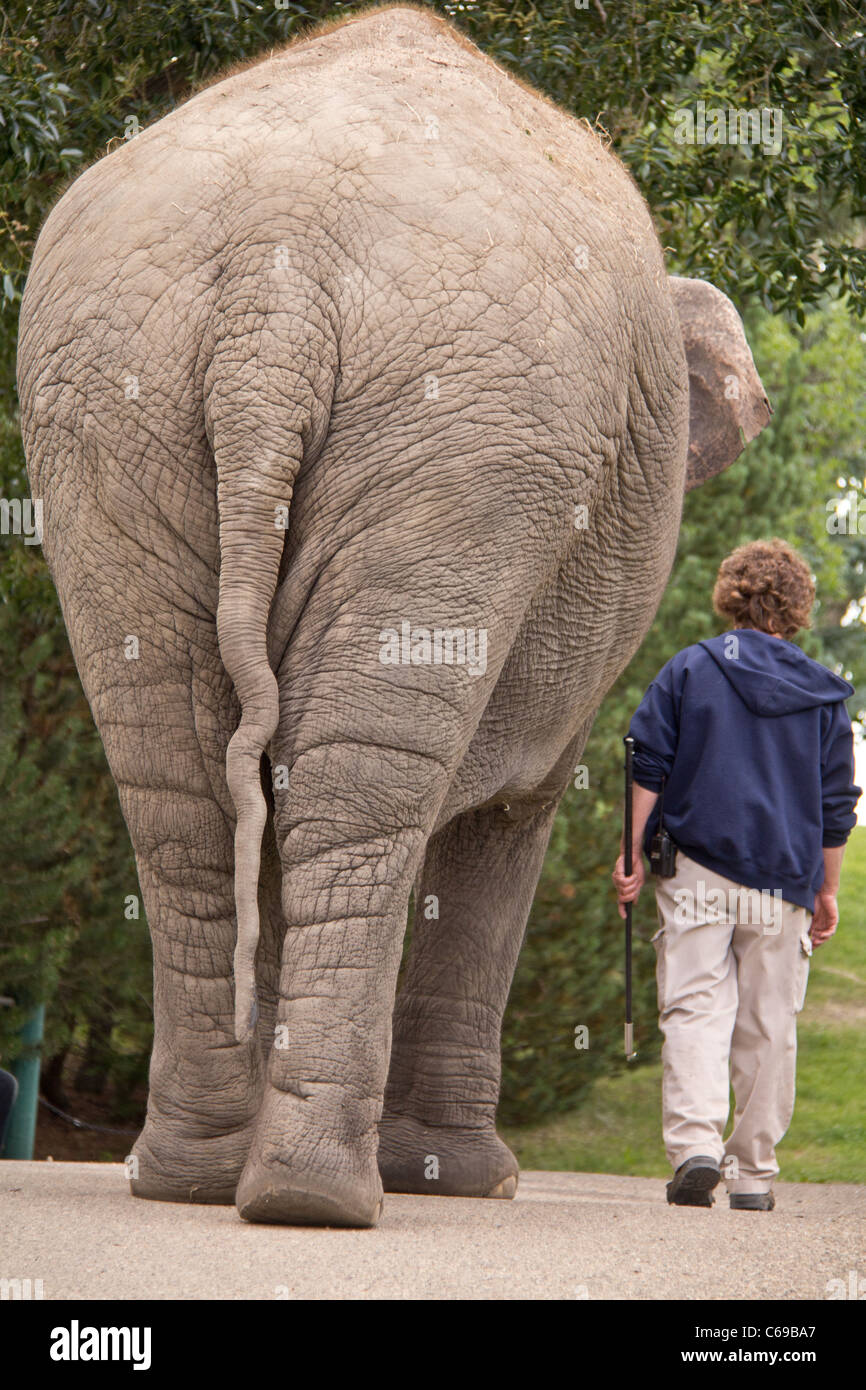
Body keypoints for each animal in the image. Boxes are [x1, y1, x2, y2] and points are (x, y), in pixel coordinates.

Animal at [17, 4, 770, 1227]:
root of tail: (273, 283)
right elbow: (511, 817)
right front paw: (470, 1181)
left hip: (107, 408)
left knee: (184, 795)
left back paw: (198, 1179)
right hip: (467, 440)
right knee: (350, 793)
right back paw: (319, 1197)